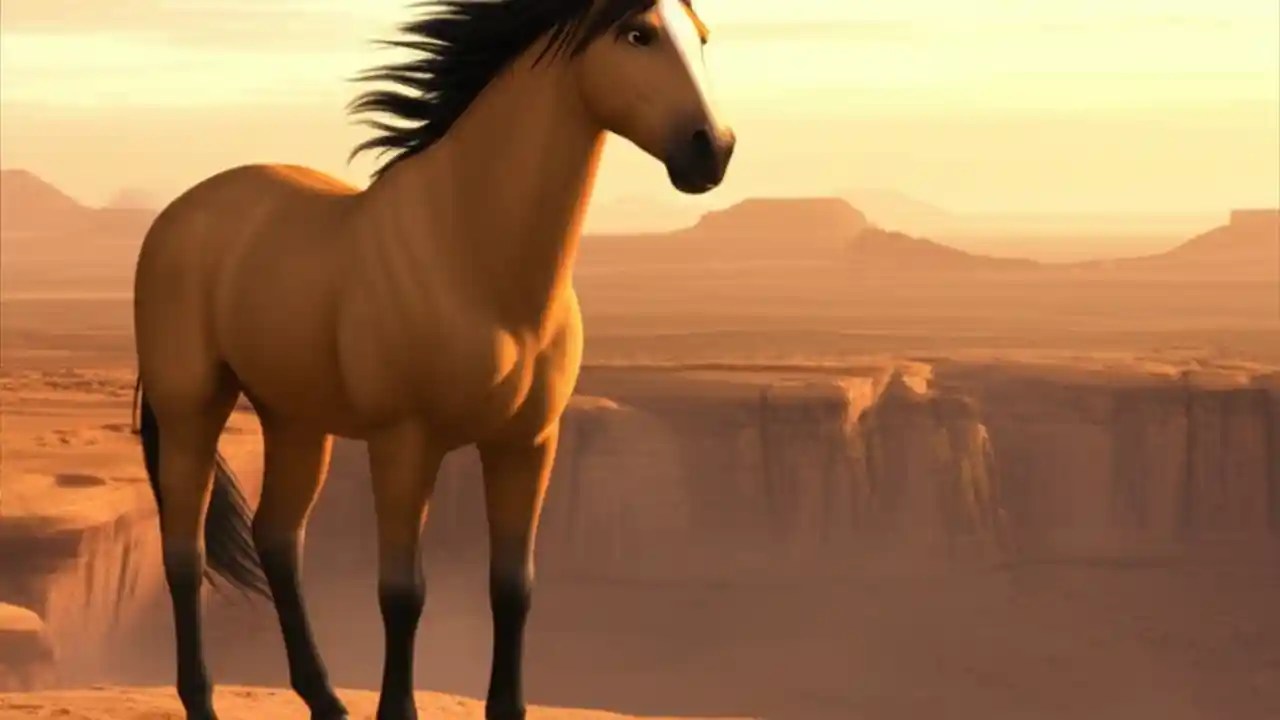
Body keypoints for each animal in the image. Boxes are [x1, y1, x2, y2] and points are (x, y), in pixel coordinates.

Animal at [131, 1, 734, 719]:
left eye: (703, 38)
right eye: (637, 34)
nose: (713, 149)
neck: (471, 258)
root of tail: (179, 213)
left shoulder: (528, 443)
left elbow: (513, 586)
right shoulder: (405, 444)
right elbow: (403, 592)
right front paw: (398, 709)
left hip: (295, 416)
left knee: (276, 537)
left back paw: (325, 698)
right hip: (192, 405)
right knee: (184, 551)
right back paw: (202, 698)